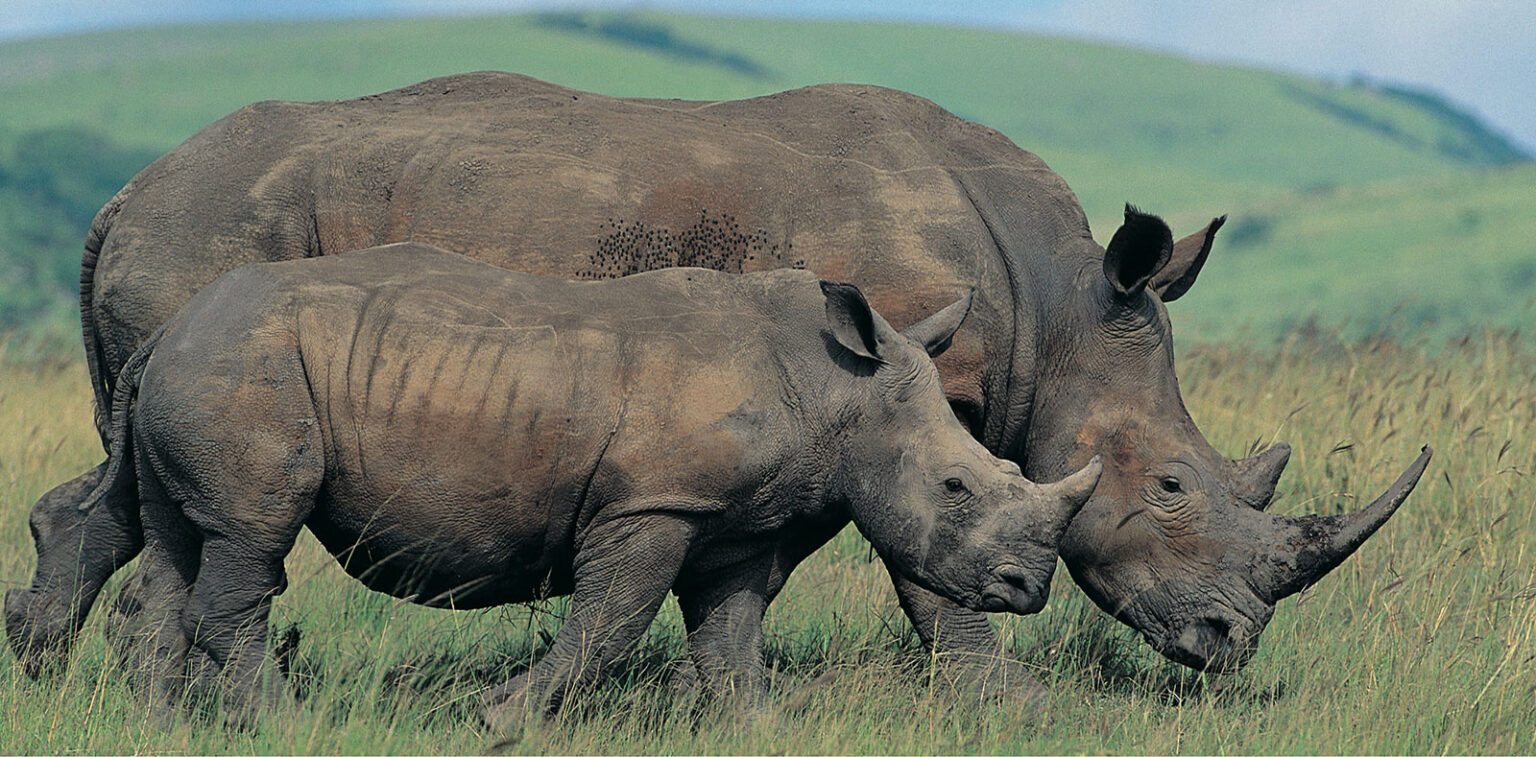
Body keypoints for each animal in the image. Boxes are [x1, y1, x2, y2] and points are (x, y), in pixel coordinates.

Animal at [89, 243, 1101, 726]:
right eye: (957, 486)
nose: (1027, 589)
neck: (838, 387)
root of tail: (170, 328)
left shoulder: (736, 521)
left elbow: (731, 639)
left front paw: (757, 726)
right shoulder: (652, 501)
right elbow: (612, 622)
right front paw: (498, 717)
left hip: (208, 367)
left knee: (180, 543)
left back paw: (161, 724)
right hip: (243, 367)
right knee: (250, 538)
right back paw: (282, 721)